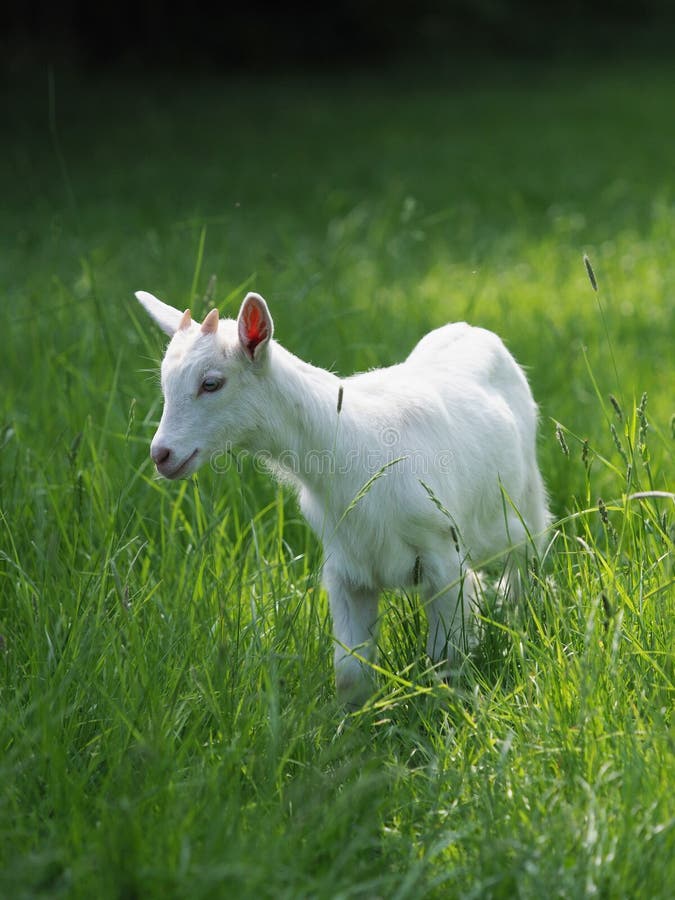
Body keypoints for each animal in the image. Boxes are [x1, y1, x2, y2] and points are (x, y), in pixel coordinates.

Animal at [136, 289, 550, 705]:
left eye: (211, 383)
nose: (161, 455)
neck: (350, 447)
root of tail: (471, 329)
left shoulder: (443, 557)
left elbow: (444, 660)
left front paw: (446, 709)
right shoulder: (348, 568)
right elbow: (350, 673)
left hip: (526, 503)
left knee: (525, 567)